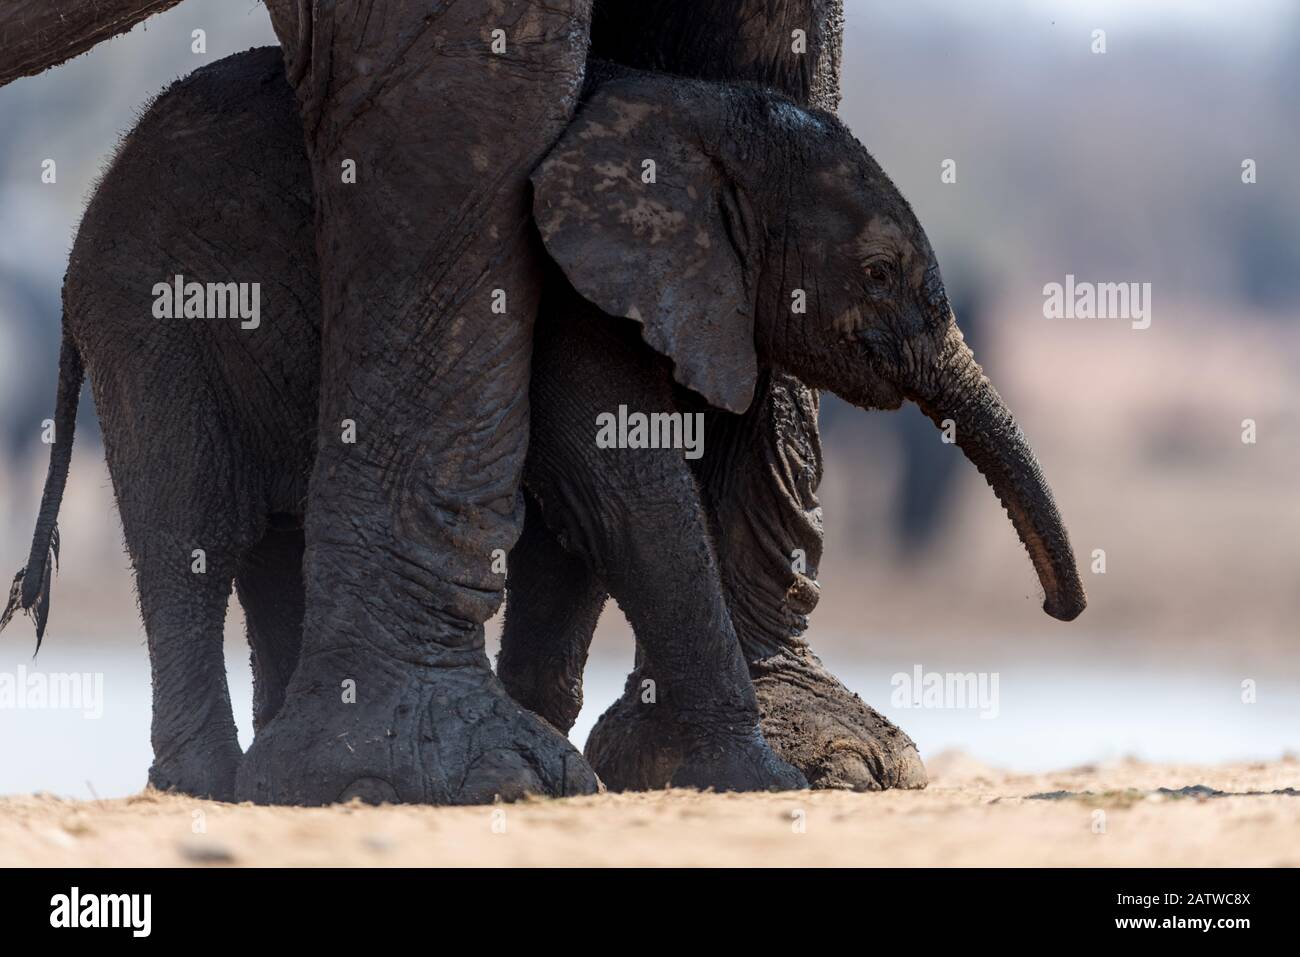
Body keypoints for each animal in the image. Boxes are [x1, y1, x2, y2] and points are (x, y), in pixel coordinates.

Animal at [4, 43, 1086, 796]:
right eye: (878, 275)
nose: (1060, 611)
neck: (688, 112)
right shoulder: (565, 299)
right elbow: (628, 494)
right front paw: (752, 780)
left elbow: (582, 528)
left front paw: (561, 768)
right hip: (152, 320)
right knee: (194, 534)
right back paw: (209, 786)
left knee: (273, 541)